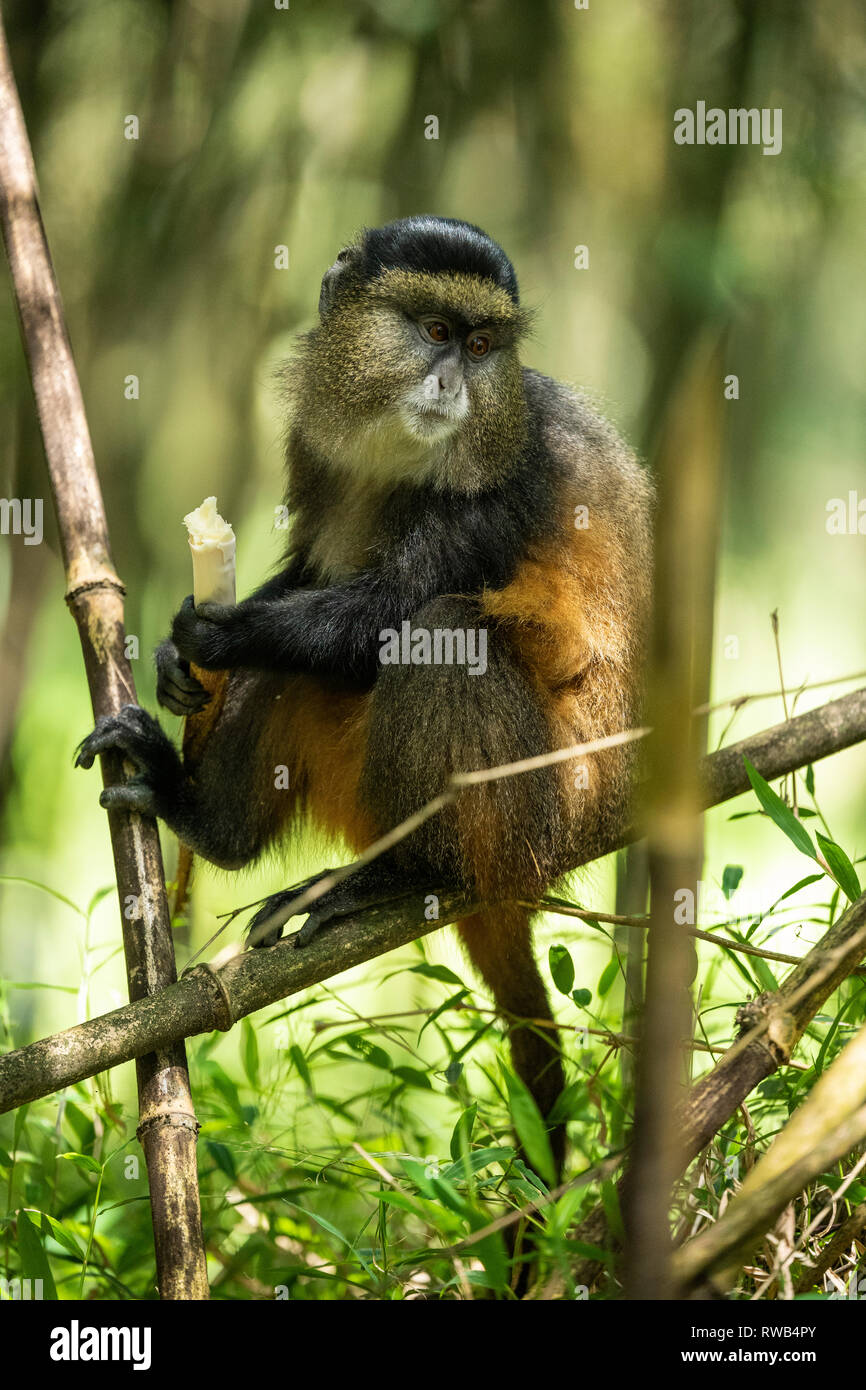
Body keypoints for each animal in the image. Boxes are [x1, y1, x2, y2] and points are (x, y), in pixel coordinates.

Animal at [76, 215, 653, 1186]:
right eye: (435, 330)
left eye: (483, 345)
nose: (454, 382)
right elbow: (310, 573)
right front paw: (173, 664)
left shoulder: (508, 477)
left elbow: (384, 617)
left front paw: (212, 638)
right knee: (295, 669)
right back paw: (205, 821)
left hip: (545, 810)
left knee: (444, 633)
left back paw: (410, 877)